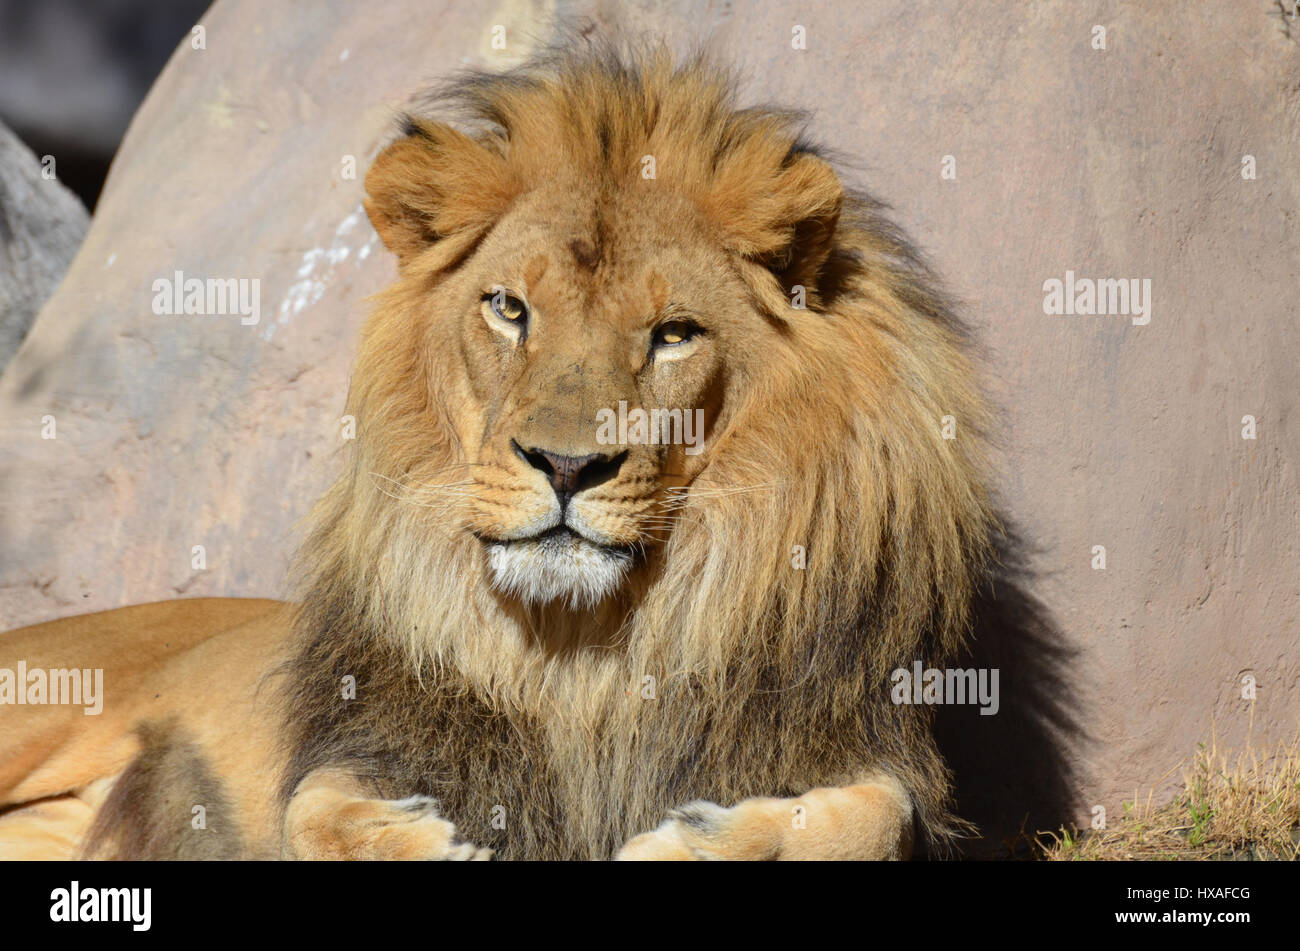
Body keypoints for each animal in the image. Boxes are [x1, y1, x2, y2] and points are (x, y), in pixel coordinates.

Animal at [0, 44, 995, 861]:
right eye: (510, 308)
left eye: (674, 334)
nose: (565, 466)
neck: (581, 659)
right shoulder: (365, 740)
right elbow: (308, 808)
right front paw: (410, 839)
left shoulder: (862, 744)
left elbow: (879, 818)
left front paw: (703, 842)